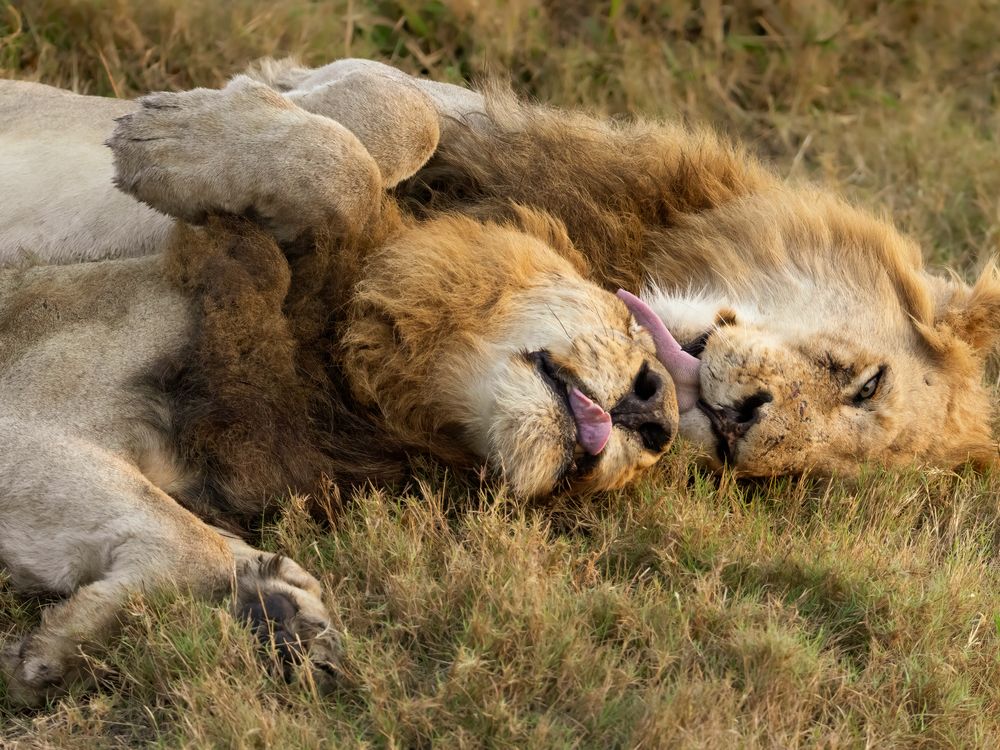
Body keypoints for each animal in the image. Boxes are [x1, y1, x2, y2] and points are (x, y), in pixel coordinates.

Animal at [0, 77, 686, 705]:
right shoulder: (25, 418)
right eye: (629, 321)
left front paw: (272, 610)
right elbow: (390, 126)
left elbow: (190, 537)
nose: (659, 418)